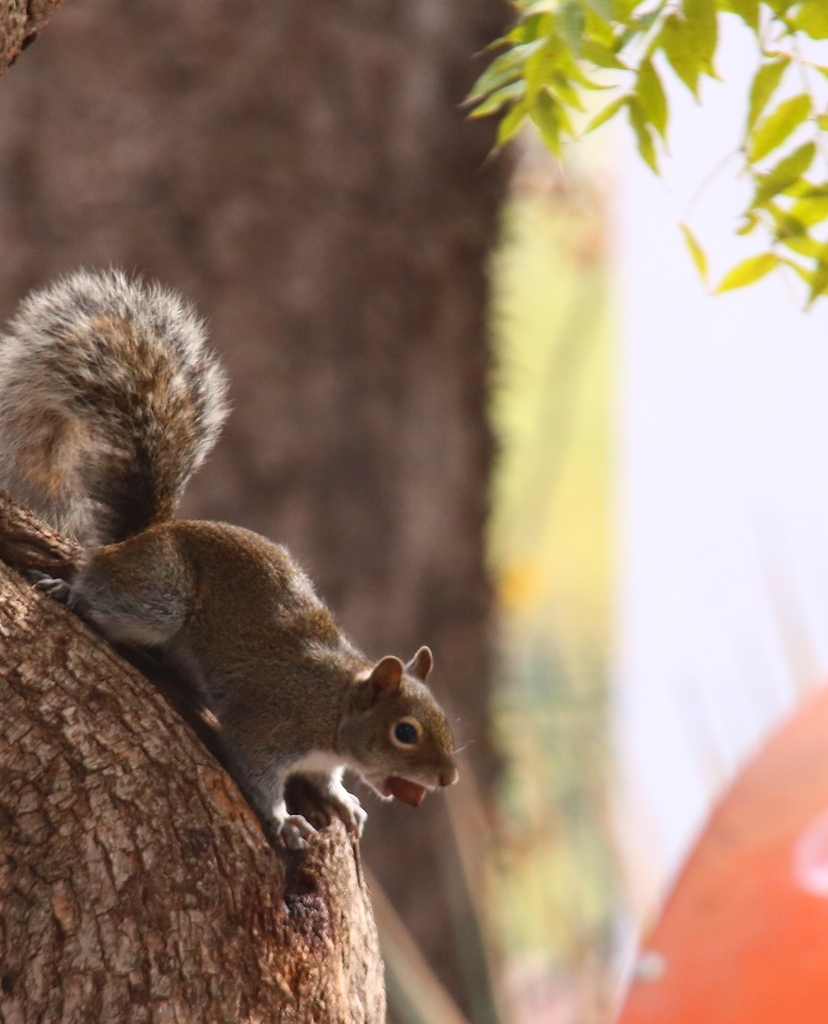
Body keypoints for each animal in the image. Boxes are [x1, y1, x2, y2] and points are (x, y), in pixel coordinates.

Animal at [0, 268, 458, 849]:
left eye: (442, 718)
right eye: (405, 732)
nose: (448, 777)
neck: (333, 703)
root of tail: (147, 534)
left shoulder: (319, 756)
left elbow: (325, 780)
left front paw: (341, 800)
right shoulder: (266, 724)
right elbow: (259, 775)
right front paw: (284, 820)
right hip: (160, 595)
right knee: (99, 581)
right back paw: (71, 591)